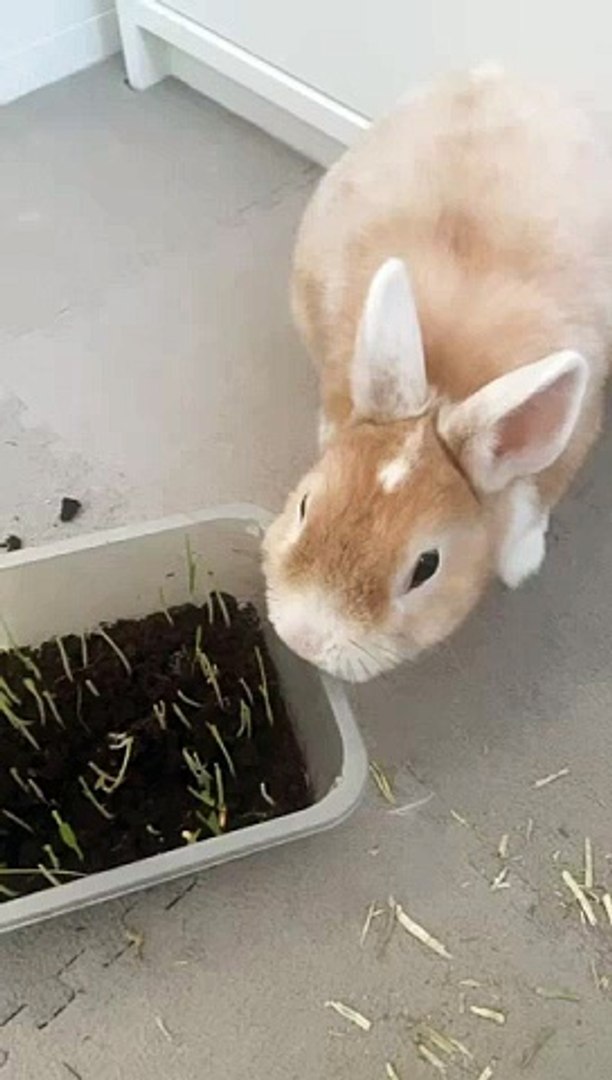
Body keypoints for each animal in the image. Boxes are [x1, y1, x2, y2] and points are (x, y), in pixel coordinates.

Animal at [263, 66, 612, 682]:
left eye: (426, 567)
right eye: (305, 505)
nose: (306, 639)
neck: (447, 390)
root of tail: (490, 71)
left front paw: (521, 565)